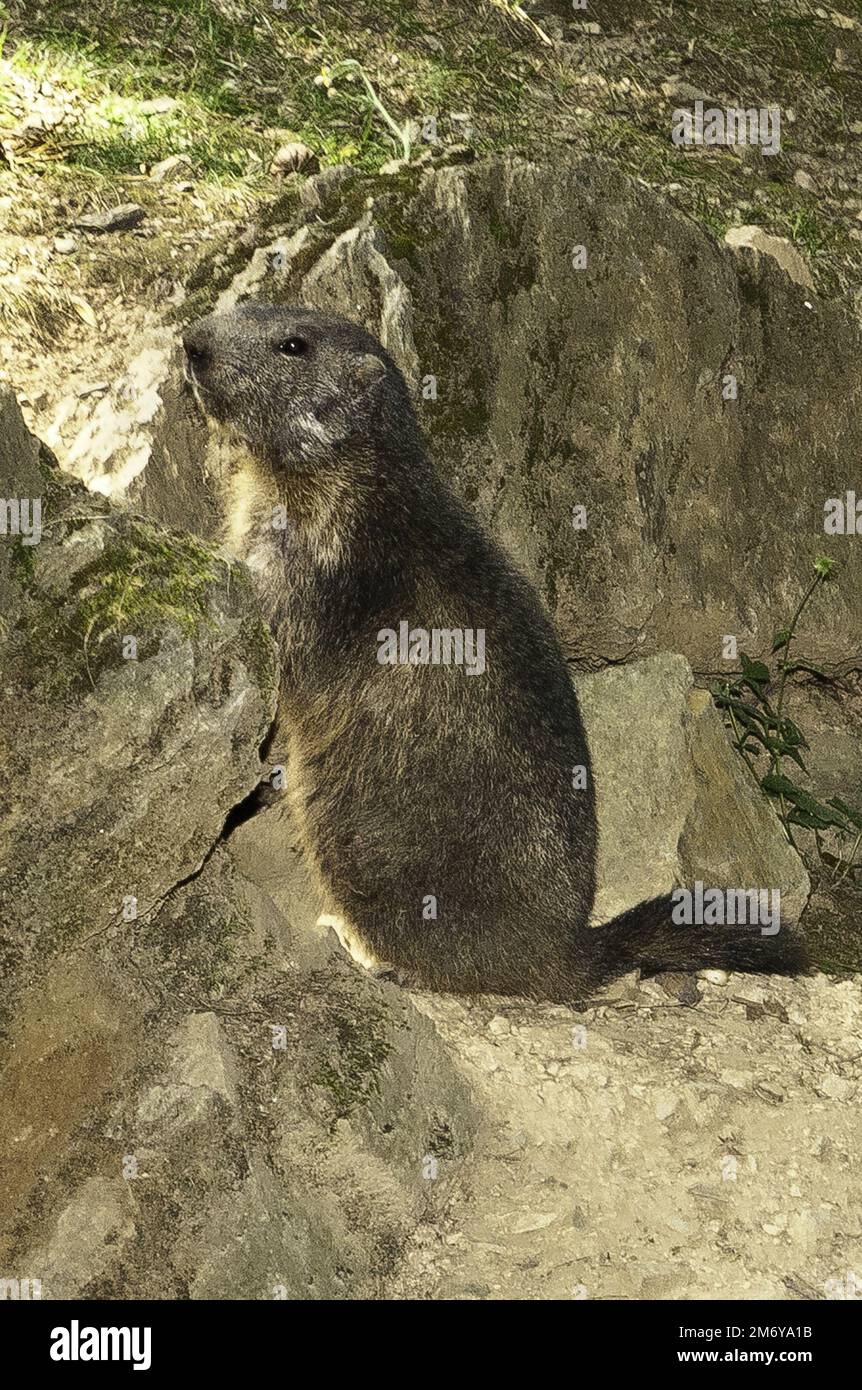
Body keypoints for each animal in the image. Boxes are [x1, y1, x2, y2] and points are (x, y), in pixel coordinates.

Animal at [182, 300, 808, 1000]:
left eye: (293, 345)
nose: (191, 342)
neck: (343, 473)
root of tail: (562, 949)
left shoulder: (312, 556)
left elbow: (275, 623)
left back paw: (359, 946)